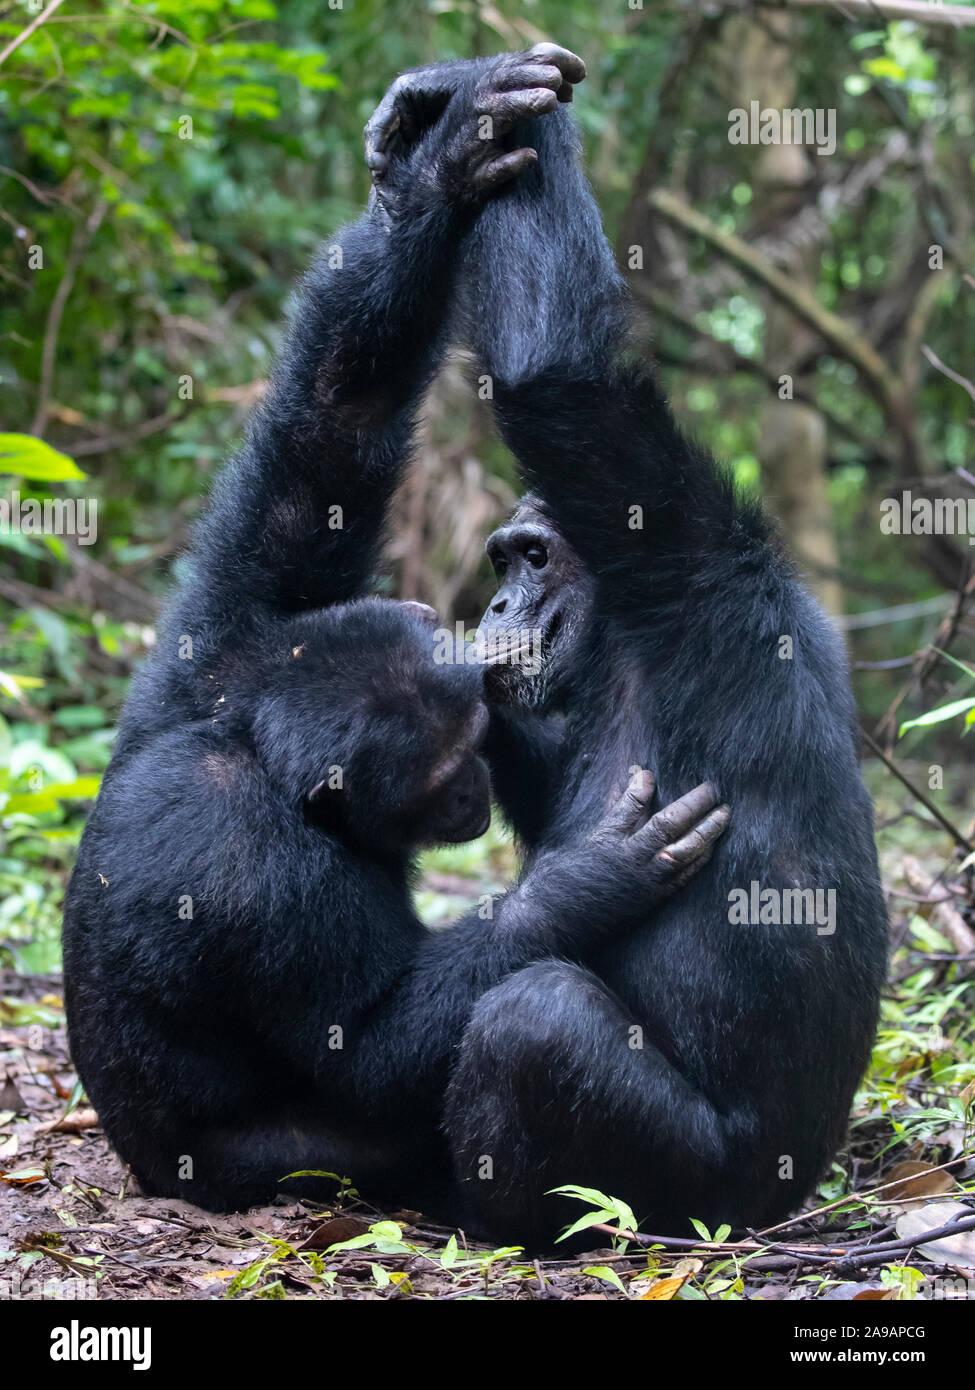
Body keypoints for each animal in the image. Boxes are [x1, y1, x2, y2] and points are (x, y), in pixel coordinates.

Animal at [60, 46, 728, 1217]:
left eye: (471, 753)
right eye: (439, 775)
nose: (473, 796)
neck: (258, 750)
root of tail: (140, 1172)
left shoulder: (223, 648)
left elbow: (327, 443)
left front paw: (434, 157)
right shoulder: (262, 880)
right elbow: (371, 1042)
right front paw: (586, 882)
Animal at [364, 46, 890, 1251]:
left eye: (532, 556)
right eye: (500, 557)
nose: (497, 601)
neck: (621, 637)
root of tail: (797, 1199)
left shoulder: (685, 550)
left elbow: (559, 379)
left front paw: (487, 99)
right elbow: (525, 763)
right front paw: (440, 112)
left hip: (700, 1193)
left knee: (538, 1017)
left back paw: (488, 1218)